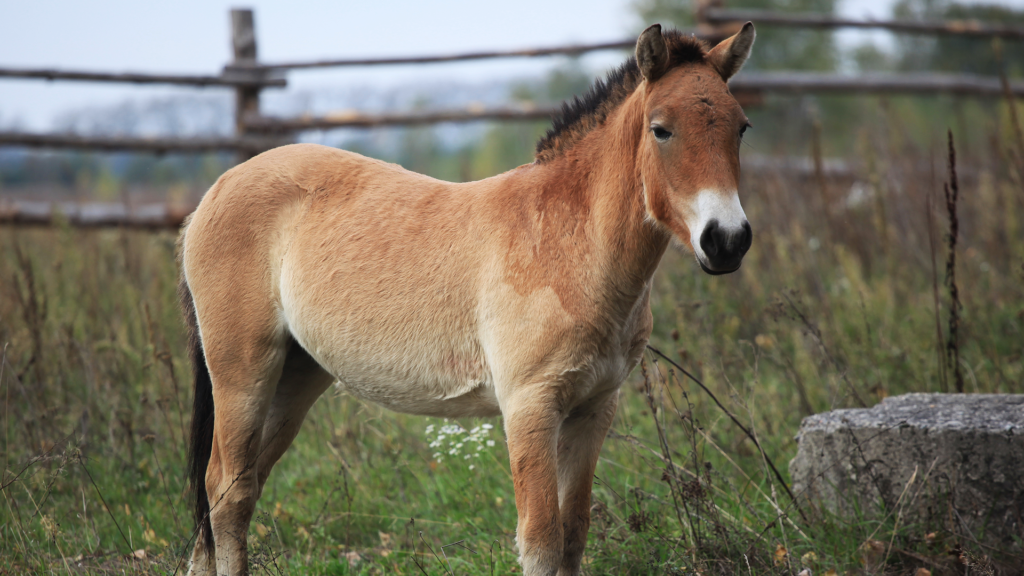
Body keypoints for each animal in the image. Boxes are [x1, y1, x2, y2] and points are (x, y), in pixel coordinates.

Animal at [178, 22, 756, 576]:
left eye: (742, 127)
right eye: (661, 129)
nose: (726, 240)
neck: (565, 244)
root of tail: (215, 191)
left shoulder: (594, 409)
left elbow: (572, 536)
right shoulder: (528, 407)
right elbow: (541, 542)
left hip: (294, 378)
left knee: (238, 488)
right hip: (243, 372)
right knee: (227, 492)